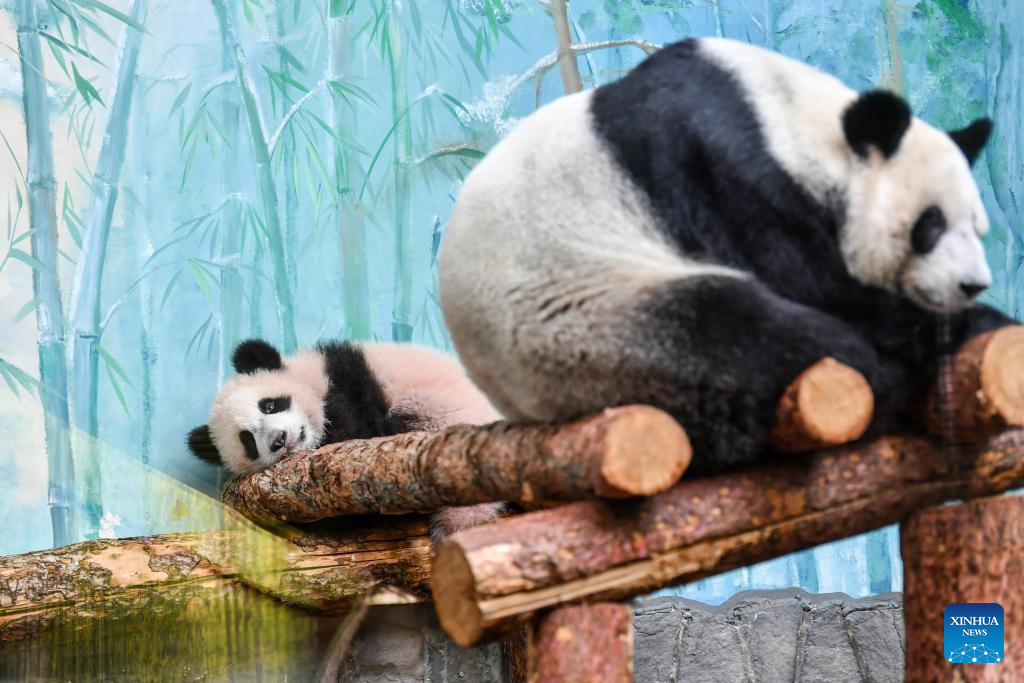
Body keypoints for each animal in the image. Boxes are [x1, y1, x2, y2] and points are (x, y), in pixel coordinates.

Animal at [438, 37, 1018, 474]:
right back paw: (889, 375)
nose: (972, 284)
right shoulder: (717, 162)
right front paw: (972, 323)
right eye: (930, 226)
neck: (787, 114)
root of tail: (530, 410)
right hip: (597, 329)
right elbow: (809, 281)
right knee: (748, 336)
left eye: (976, 227)